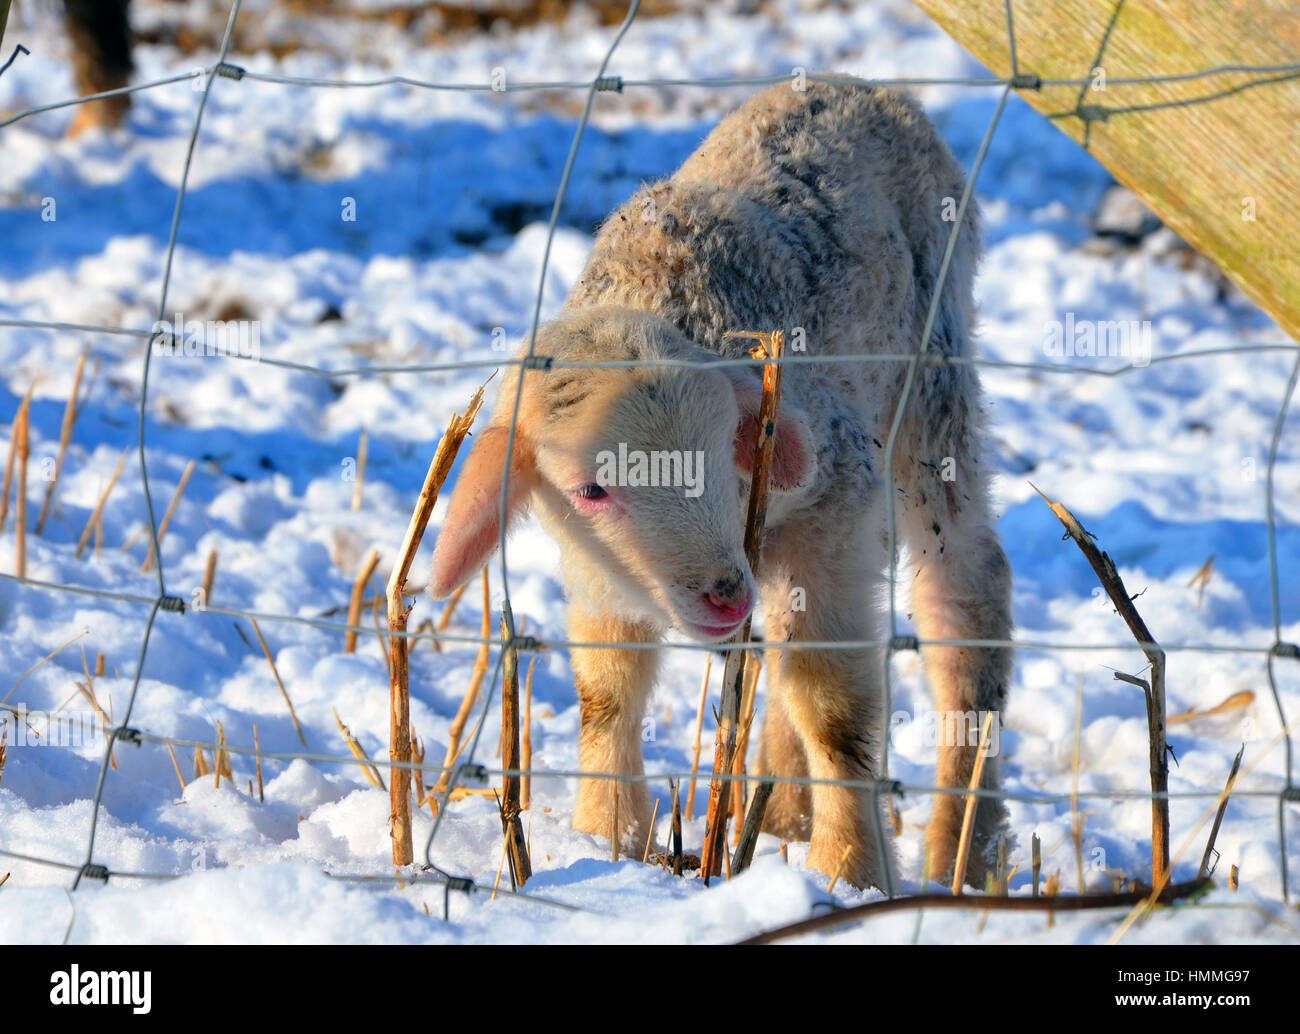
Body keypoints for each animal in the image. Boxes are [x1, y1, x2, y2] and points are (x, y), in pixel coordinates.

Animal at [431, 79, 1013, 890]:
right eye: (589, 491)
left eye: (720, 450)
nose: (722, 596)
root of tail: (862, 86)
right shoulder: (597, 563)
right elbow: (606, 690)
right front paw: (604, 841)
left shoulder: (836, 498)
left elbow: (830, 705)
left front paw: (849, 872)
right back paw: (784, 811)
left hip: (933, 370)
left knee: (964, 588)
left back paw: (965, 846)